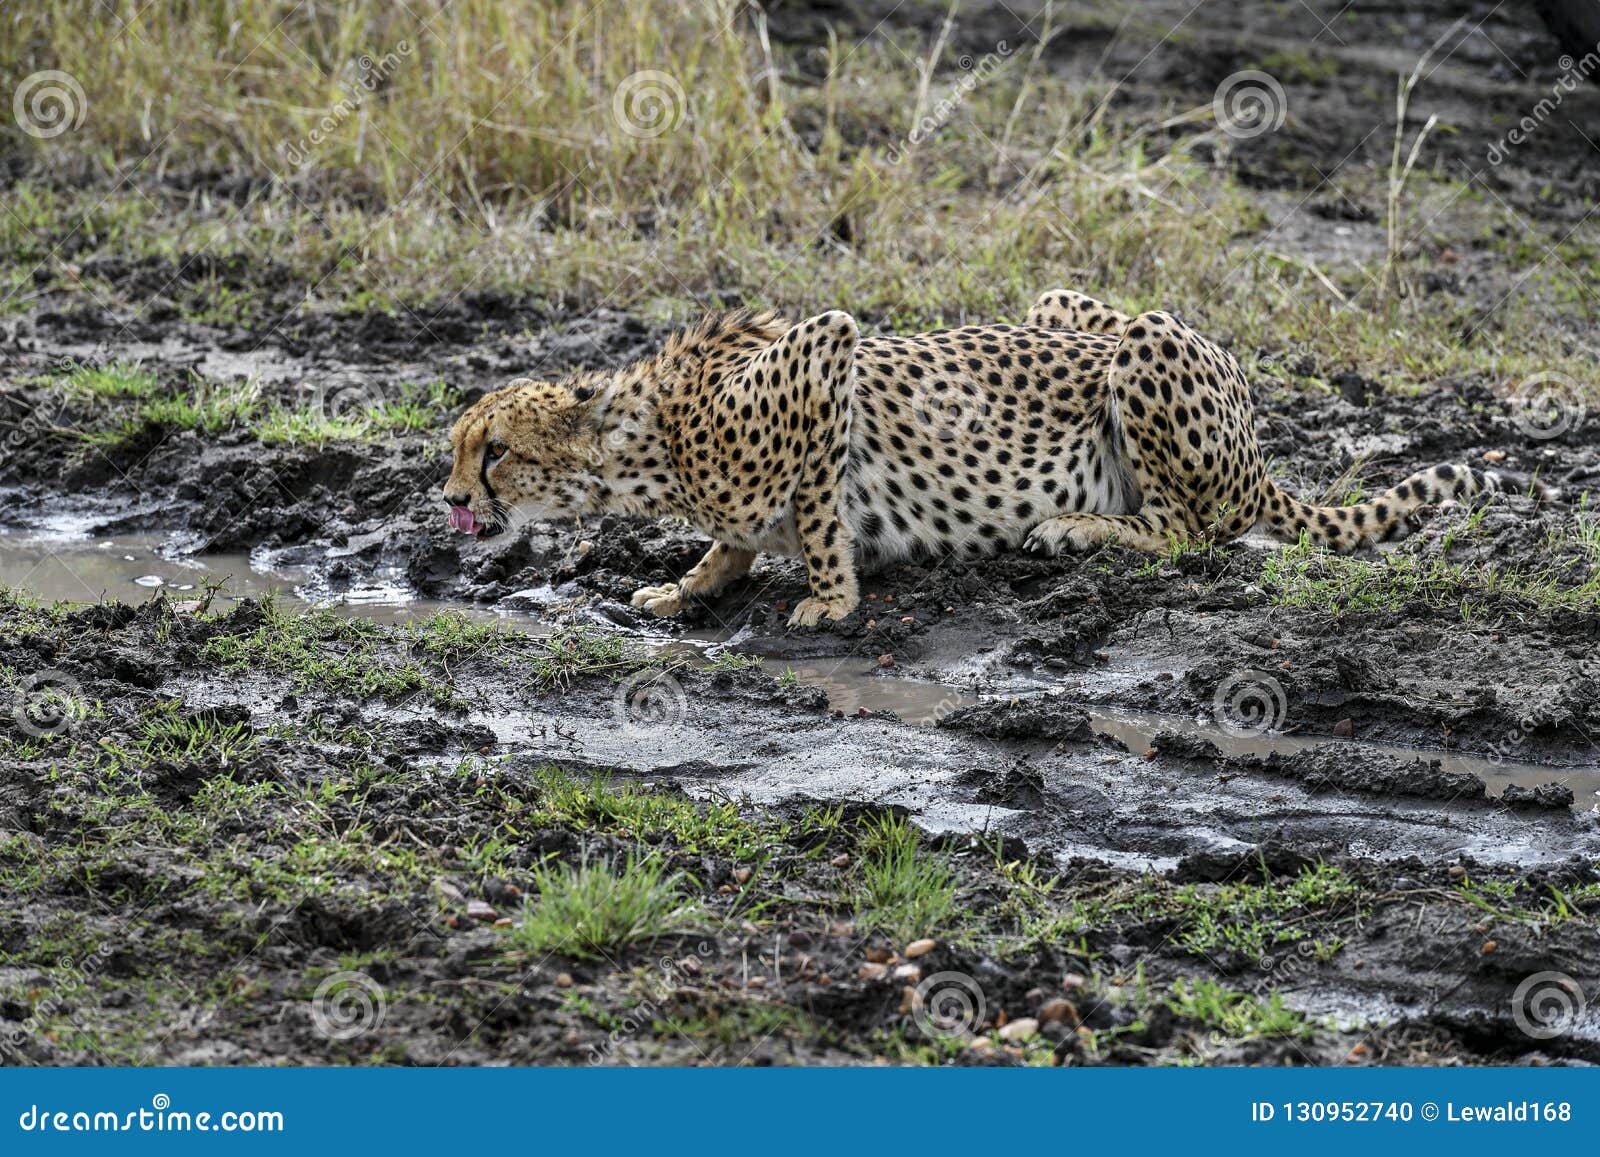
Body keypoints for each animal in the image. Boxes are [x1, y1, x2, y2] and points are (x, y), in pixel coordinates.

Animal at [442, 290, 1543, 627]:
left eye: (492, 452)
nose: (447, 497)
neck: (652, 437)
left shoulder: (825, 353)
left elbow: (818, 510)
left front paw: (830, 598)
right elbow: (734, 539)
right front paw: (689, 583)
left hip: (1146, 349)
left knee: (1193, 532)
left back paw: (1070, 526)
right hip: (1064, 302)